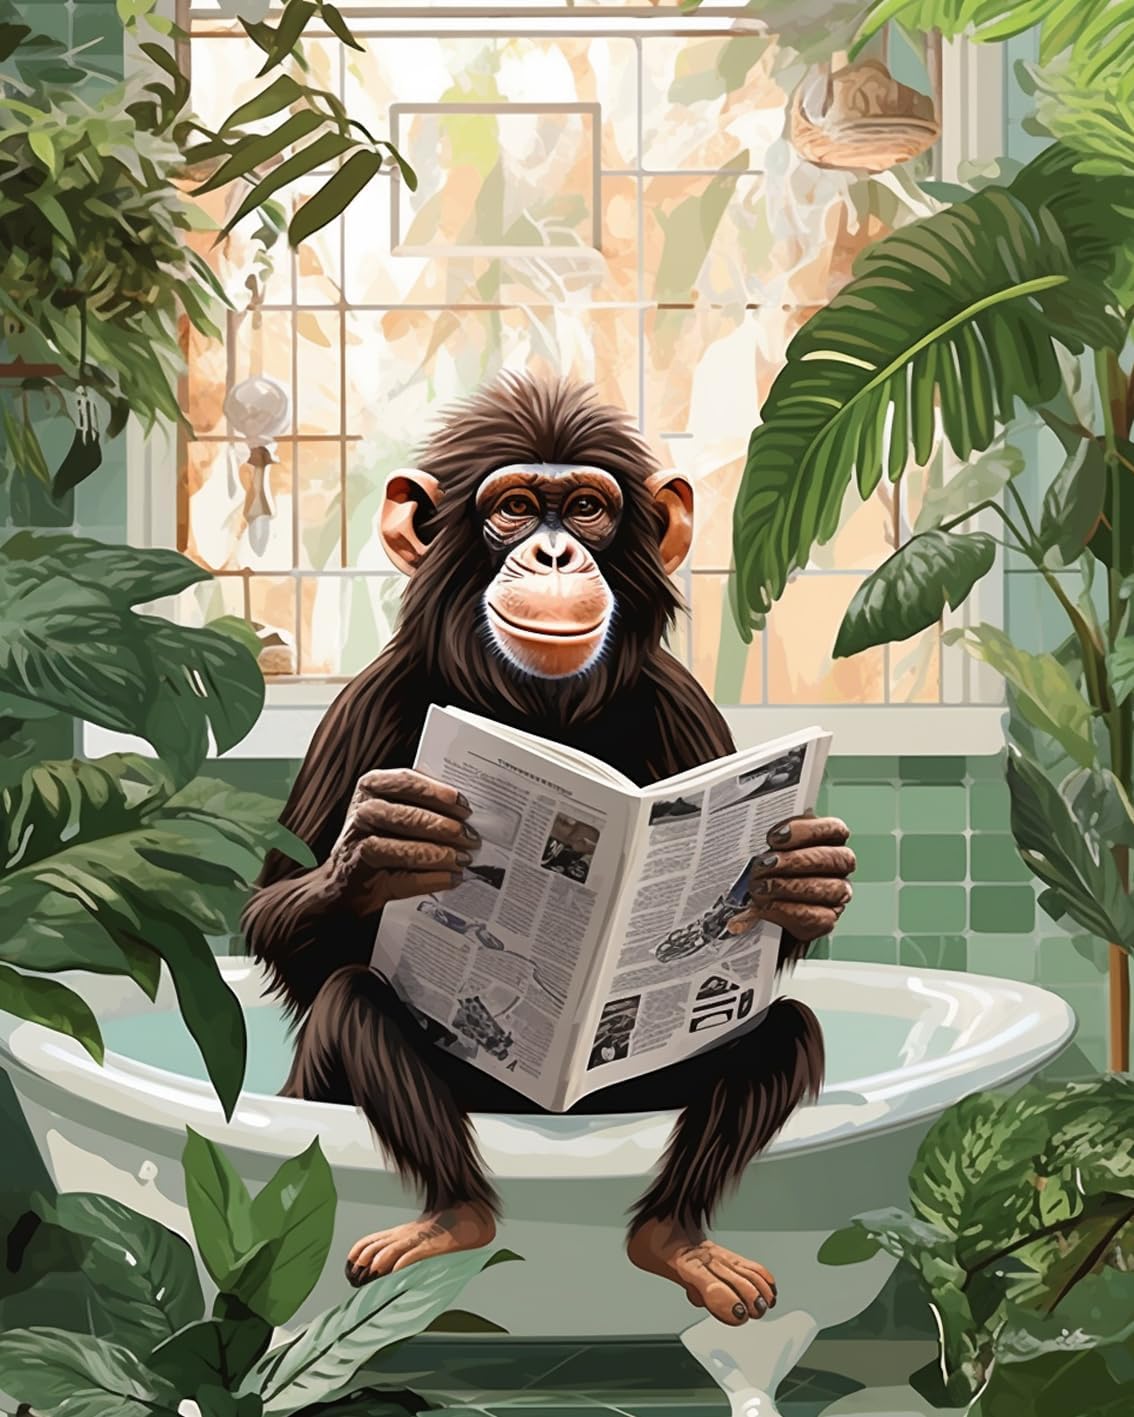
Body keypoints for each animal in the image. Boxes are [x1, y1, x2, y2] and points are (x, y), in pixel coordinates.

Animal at [242, 372, 856, 1328]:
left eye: (589, 508)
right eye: (516, 507)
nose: (557, 554)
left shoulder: (684, 705)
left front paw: (806, 875)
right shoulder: (365, 703)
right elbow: (279, 917)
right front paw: (382, 846)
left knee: (781, 1032)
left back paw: (675, 1237)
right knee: (355, 999)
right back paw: (452, 1217)